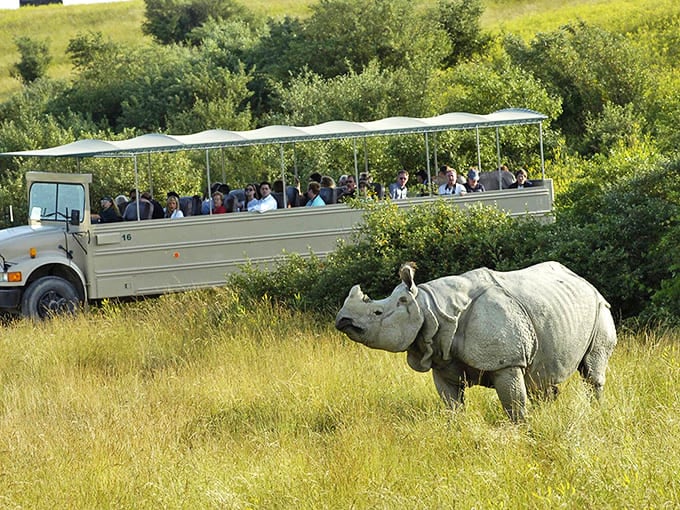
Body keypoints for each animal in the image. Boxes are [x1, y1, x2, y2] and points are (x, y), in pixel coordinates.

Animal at [335, 261, 617, 421]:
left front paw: (522, 432)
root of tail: (583, 279)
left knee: (592, 372)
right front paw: (457, 431)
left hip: (600, 307)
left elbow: (514, 405)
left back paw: (596, 413)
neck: (429, 308)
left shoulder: (508, 362)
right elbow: (452, 405)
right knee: (542, 377)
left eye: (377, 312)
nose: (342, 319)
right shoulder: (441, 359)